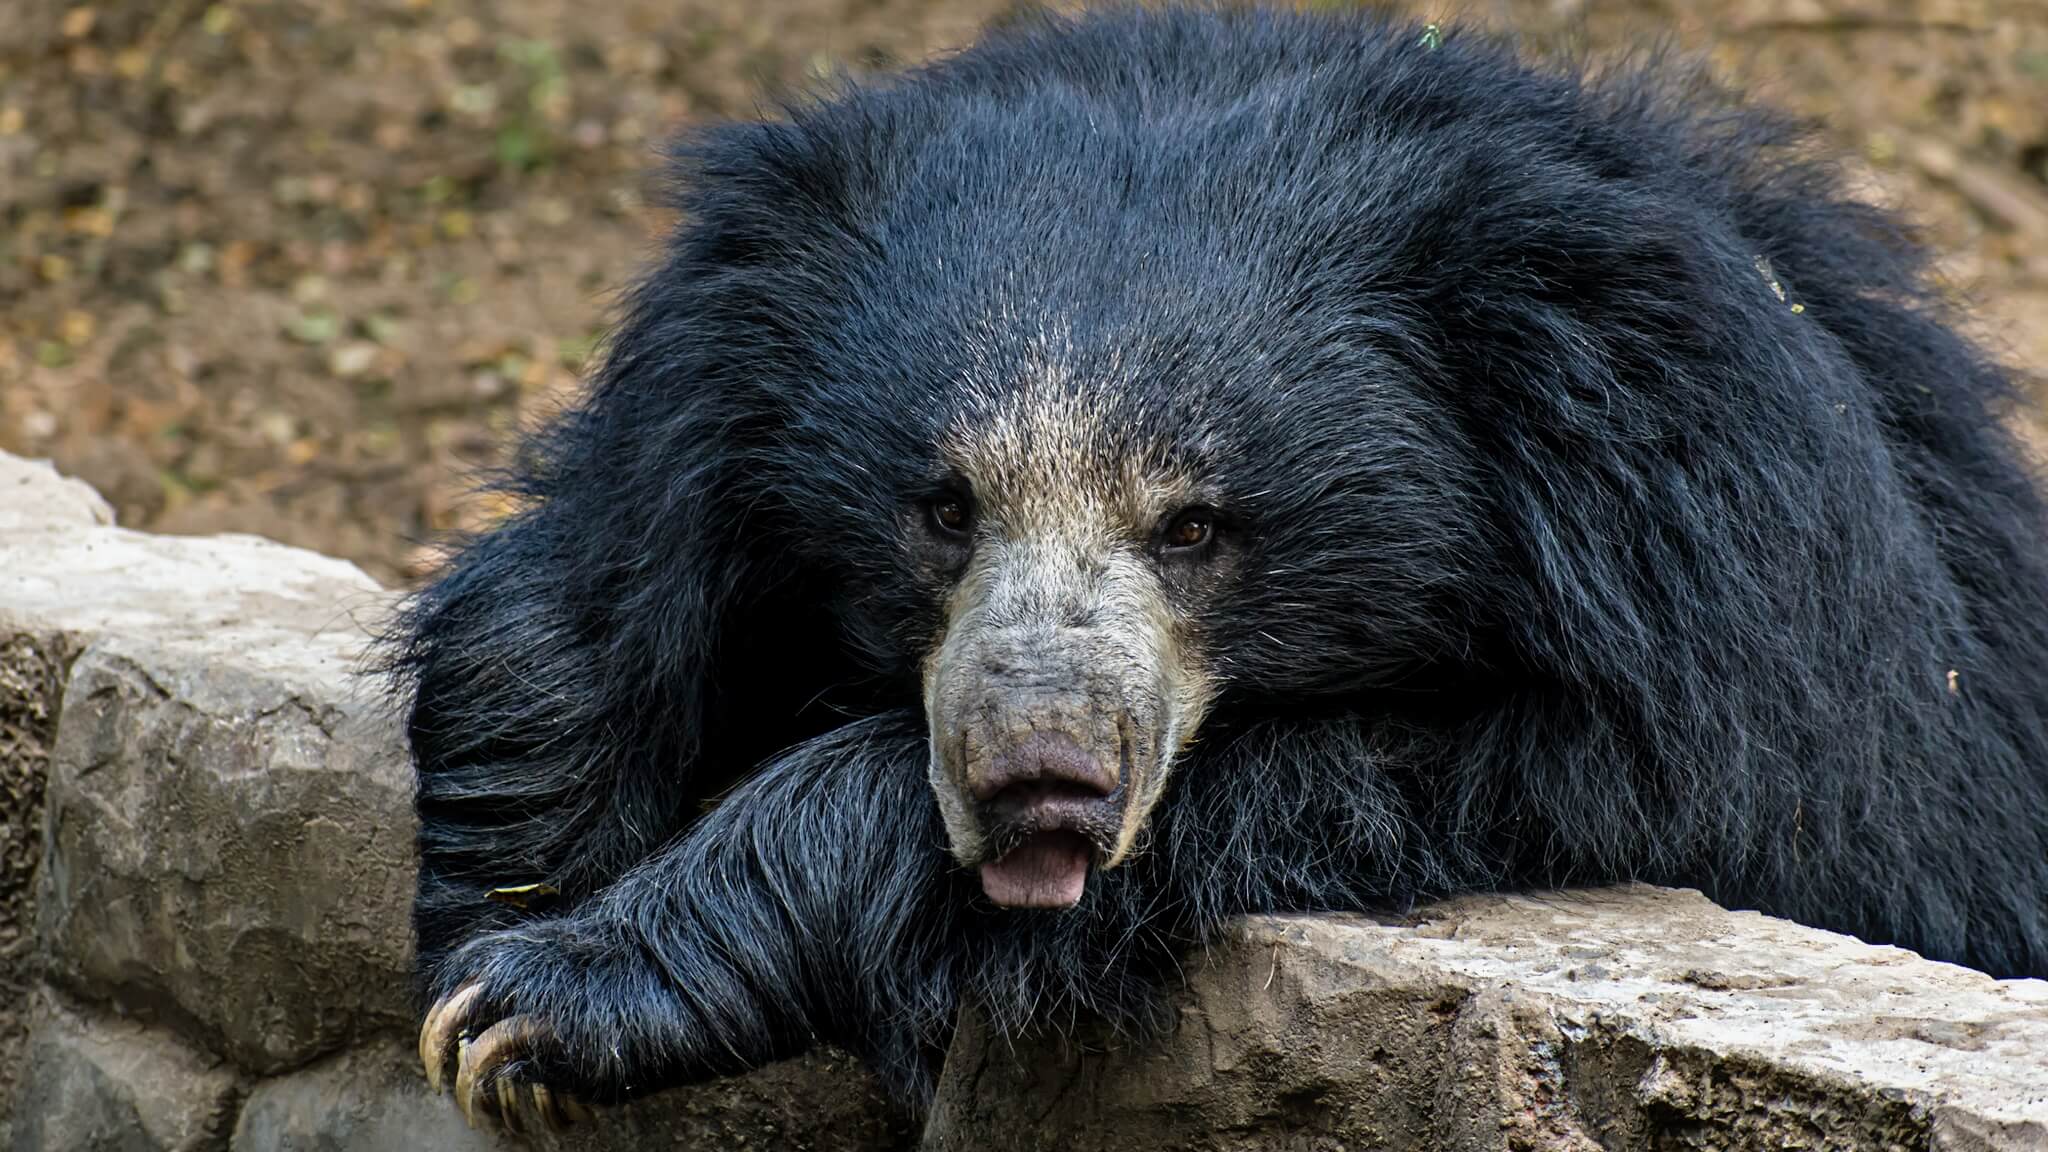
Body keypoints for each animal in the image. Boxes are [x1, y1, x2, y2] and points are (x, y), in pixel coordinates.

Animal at [395, 4, 2048, 1132]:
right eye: (942, 508)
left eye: (1195, 525)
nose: (1041, 779)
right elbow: (579, 612)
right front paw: (493, 899)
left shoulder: (1727, 621)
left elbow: (1665, 786)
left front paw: (542, 1003)